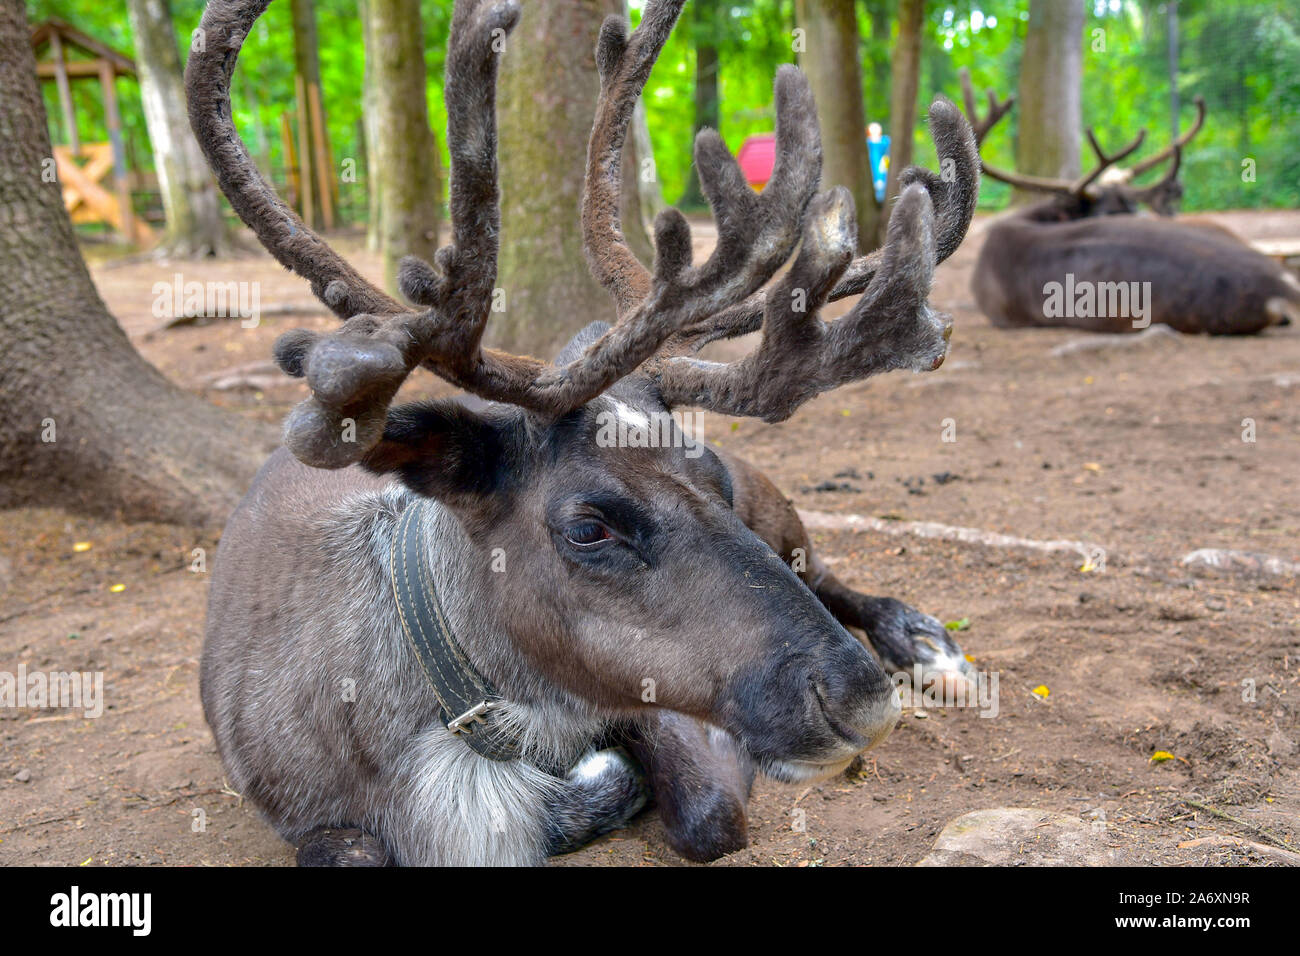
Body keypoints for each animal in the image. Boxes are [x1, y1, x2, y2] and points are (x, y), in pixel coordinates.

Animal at [186, 0, 980, 866]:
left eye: (711, 475)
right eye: (589, 527)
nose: (862, 702)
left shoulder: (647, 698)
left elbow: (705, 814)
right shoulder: (314, 819)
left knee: (833, 578)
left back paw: (927, 645)